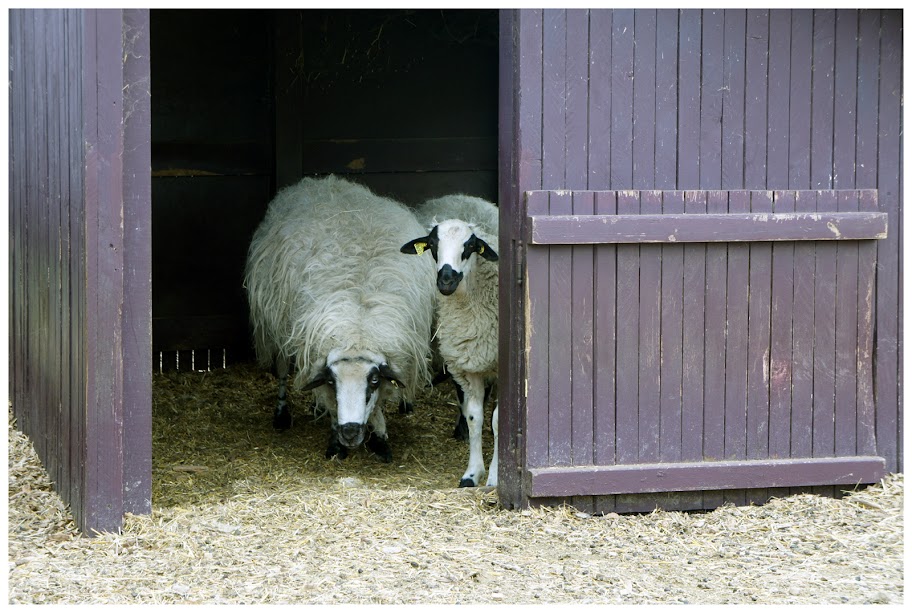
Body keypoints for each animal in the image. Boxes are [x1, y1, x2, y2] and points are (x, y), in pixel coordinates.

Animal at [244, 175, 436, 463]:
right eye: (334, 381)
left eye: (373, 380)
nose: (350, 432)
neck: (359, 326)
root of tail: (320, 181)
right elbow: (329, 400)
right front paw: (336, 442)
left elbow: (378, 402)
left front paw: (380, 438)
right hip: (277, 322)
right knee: (282, 368)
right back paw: (282, 415)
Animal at [401, 194, 500, 487]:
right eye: (433, 244)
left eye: (470, 246)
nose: (446, 280)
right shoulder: (468, 367)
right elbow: (475, 417)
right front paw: (472, 474)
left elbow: (498, 421)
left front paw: (495, 477)